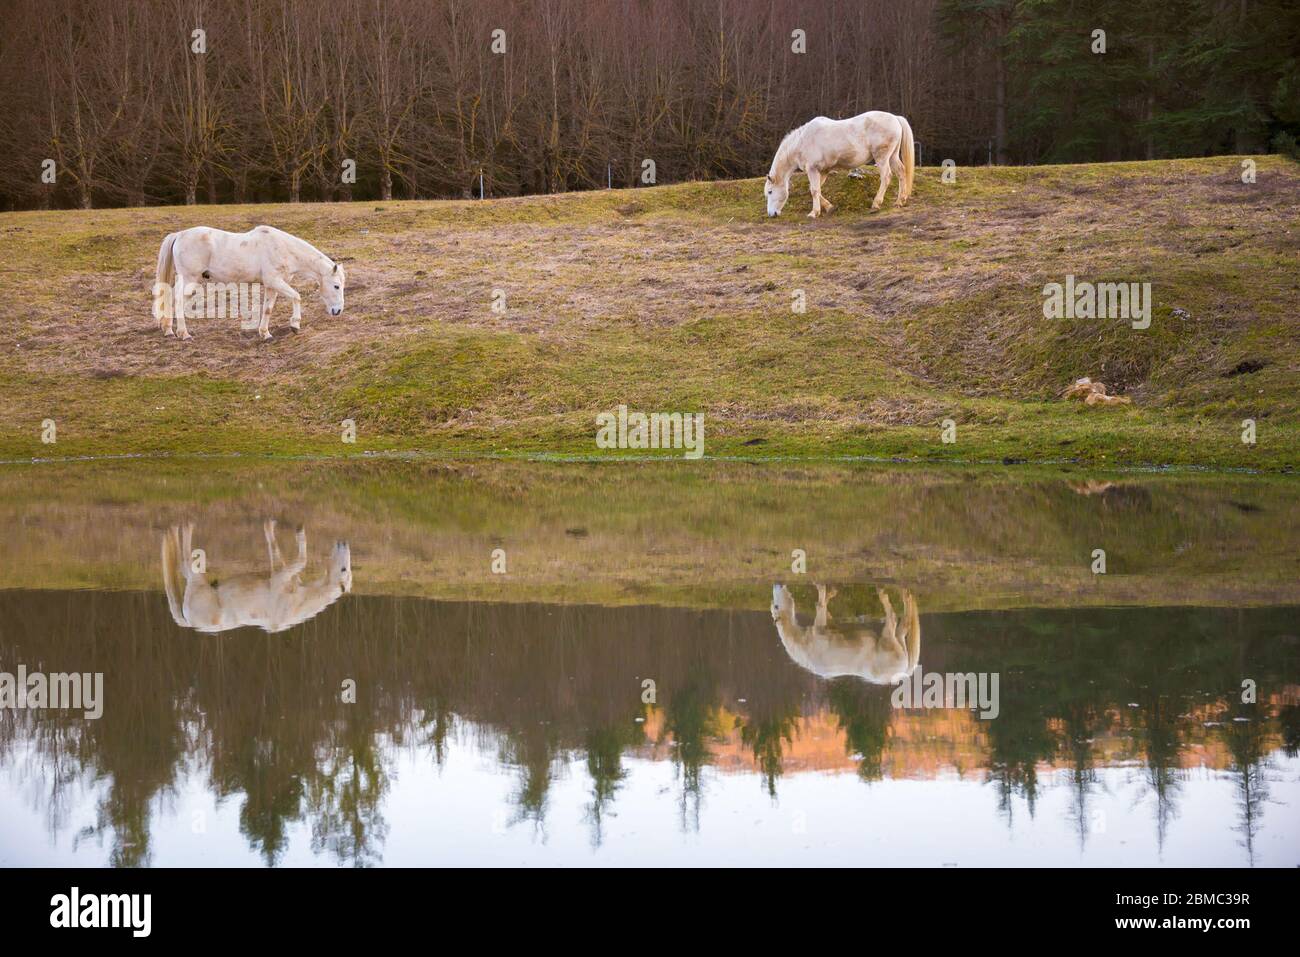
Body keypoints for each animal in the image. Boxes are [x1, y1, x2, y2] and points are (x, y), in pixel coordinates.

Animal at [153, 225, 345, 340]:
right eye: (336, 286)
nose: (338, 311)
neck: (283, 248)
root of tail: (180, 235)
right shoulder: (275, 281)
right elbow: (297, 297)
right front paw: (295, 325)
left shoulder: (272, 286)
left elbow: (267, 309)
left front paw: (265, 334)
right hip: (190, 280)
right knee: (178, 301)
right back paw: (184, 334)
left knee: (169, 297)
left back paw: (168, 330)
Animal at [161, 521, 352, 634]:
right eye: (344, 569)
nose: (343, 542)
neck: (296, 601)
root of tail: (191, 624)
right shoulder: (280, 578)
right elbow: (302, 560)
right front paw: (297, 531)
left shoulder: (280, 574)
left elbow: (276, 550)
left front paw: (270, 527)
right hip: (197, 580)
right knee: (186, 562)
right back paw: (186, 526)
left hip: (196, 580)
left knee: (184, 566)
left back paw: (180, 529)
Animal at [764, 111, 915, 218]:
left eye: (770, 192)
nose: (772, 214)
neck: (802, 142)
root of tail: (895, 118)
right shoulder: (823, 171)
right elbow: (816, 189)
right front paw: (829, 207)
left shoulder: (813, 169)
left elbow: (814, 190)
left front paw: (814, 213)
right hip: (892, 156)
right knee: (901, 173)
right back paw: (900, 201)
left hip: (882, 158)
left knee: (886, 177)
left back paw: (876, 204)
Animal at [770, 583, 920, 683]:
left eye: (776, 605)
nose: (777, 584)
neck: (805, 647)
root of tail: (902, 673)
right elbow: (825, 605)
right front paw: (831, 592)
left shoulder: (820, 628)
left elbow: (820, 604)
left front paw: (821, 587)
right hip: (897, 642)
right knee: (903, 627)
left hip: (887, 639)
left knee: (893, 618)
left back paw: (882, 592)